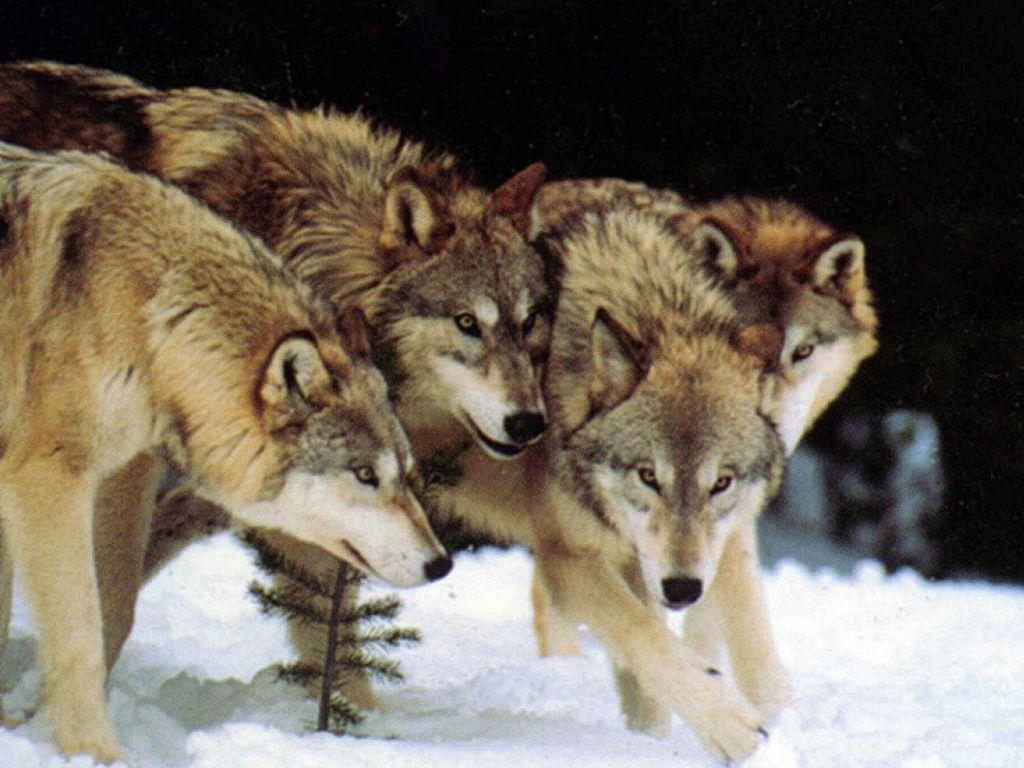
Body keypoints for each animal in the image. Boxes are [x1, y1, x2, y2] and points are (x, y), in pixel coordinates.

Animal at [0, 61, 551, 685]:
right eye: (467, 323)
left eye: (530, 320)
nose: (529, 422)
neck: (301, 243)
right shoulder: (133, 468)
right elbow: (113, 601)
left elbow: (327, 623)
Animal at [0, 143, 447, 762]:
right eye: (363, 474)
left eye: (404, 473)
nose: (442, 563)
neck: (149, 315)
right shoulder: (49, 478)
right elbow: (81, 636)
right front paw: (98, 753)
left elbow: (106, 610)